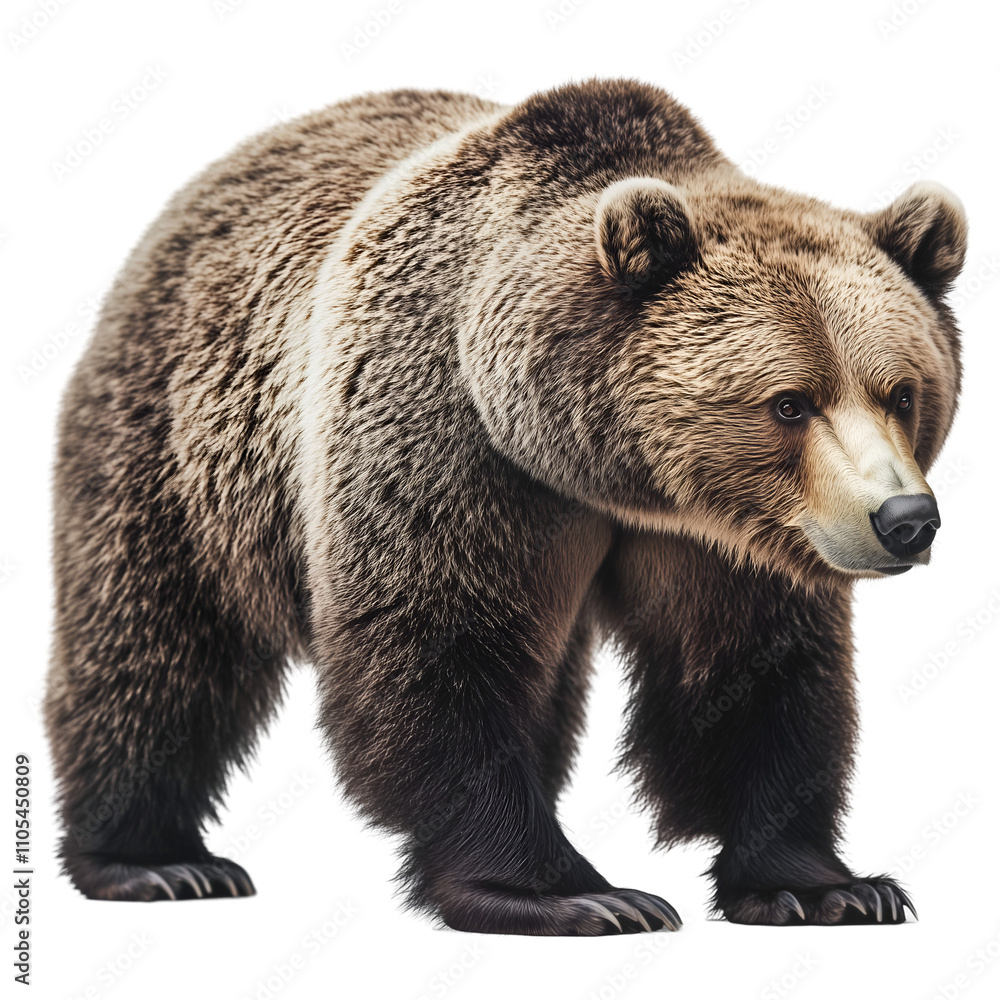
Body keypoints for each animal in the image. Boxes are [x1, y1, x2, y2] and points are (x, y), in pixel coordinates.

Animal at [45, 78, 966, 934]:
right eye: (789, 402)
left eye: (901, 391)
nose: (905, 520)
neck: (594, 464)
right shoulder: (446, 439)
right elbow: (441, 648)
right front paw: (573, 894)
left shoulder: (730, 534)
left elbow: (750, 668)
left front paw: (824, 887)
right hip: (180, 436)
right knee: (154, 639)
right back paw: (155, 860)